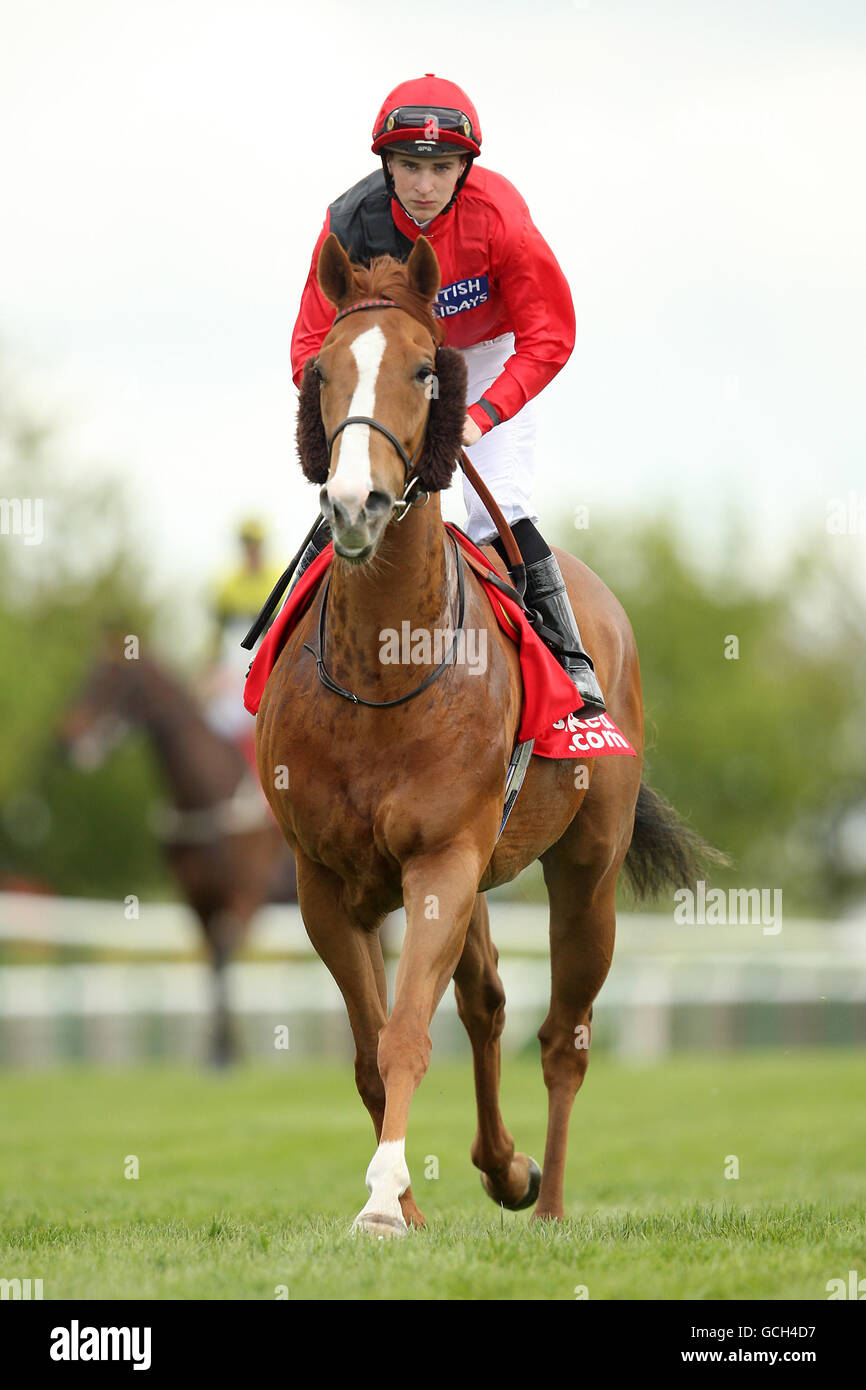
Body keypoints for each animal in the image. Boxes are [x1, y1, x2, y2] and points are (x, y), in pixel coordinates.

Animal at [61, 646, 297, 1065]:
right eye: (83, 678)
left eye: (108, 682)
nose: (68, 742)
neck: (206, 791)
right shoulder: (196, 897)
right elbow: (211, 960)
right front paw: (221, 1049)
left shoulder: (245, 895)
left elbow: (221, 955)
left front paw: (223, 1051)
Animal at [256, 231, 717, 1234]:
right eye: (320, 370)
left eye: (428, 369)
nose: (355, 503)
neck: (385, 667)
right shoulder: (327, 881)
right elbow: (372, 1046)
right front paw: (407, 1201)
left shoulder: (443, 858)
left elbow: (403, 1036)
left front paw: (384, 1206)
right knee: (487, 1001)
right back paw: (507, 1171)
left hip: (586, 868)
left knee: (562, 1035)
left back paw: (548, 1206)